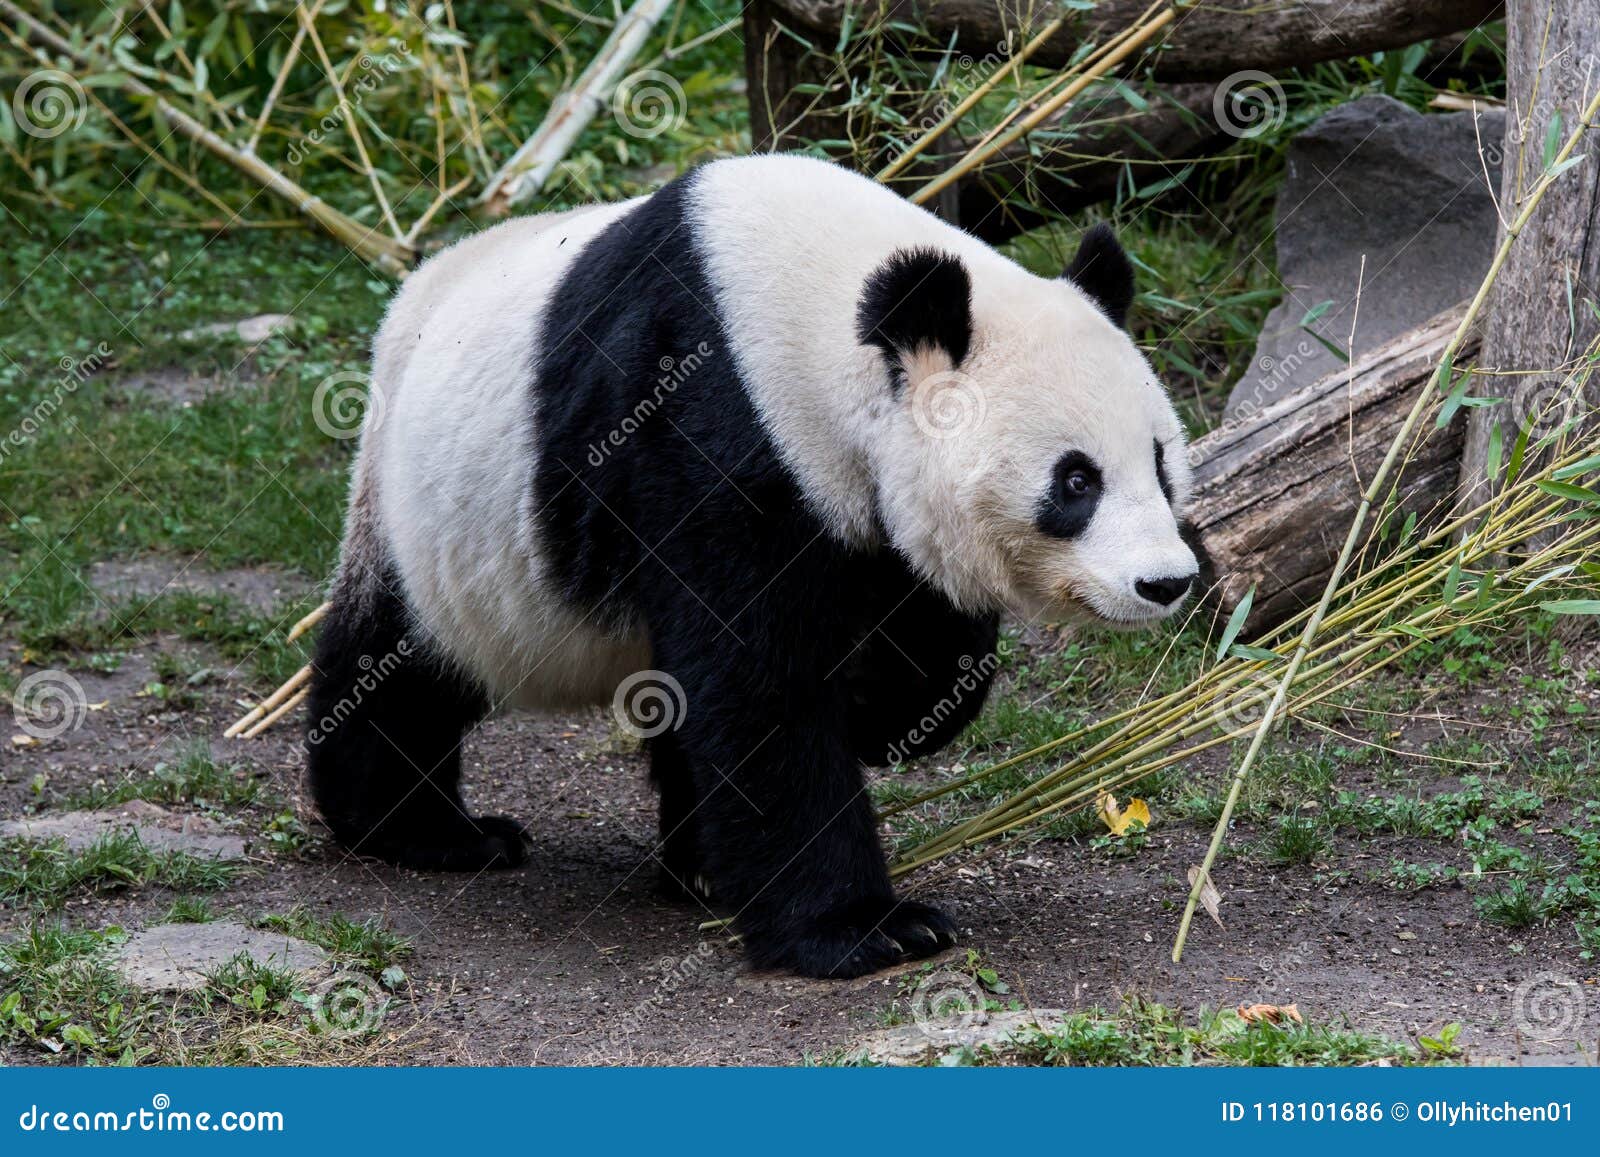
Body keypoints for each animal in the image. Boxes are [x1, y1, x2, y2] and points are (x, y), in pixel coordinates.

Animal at [306, 153, 1199, 978]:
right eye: (1076, 480)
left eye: (1159, 462)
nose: (1165, 581)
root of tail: (411, 296)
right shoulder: (706, 426)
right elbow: (762, 684)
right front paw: (866, 928)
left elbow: (925, 646)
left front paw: (879, 707)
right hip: (429, 512)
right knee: (400, 659)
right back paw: (423, 829)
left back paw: (693, 865)